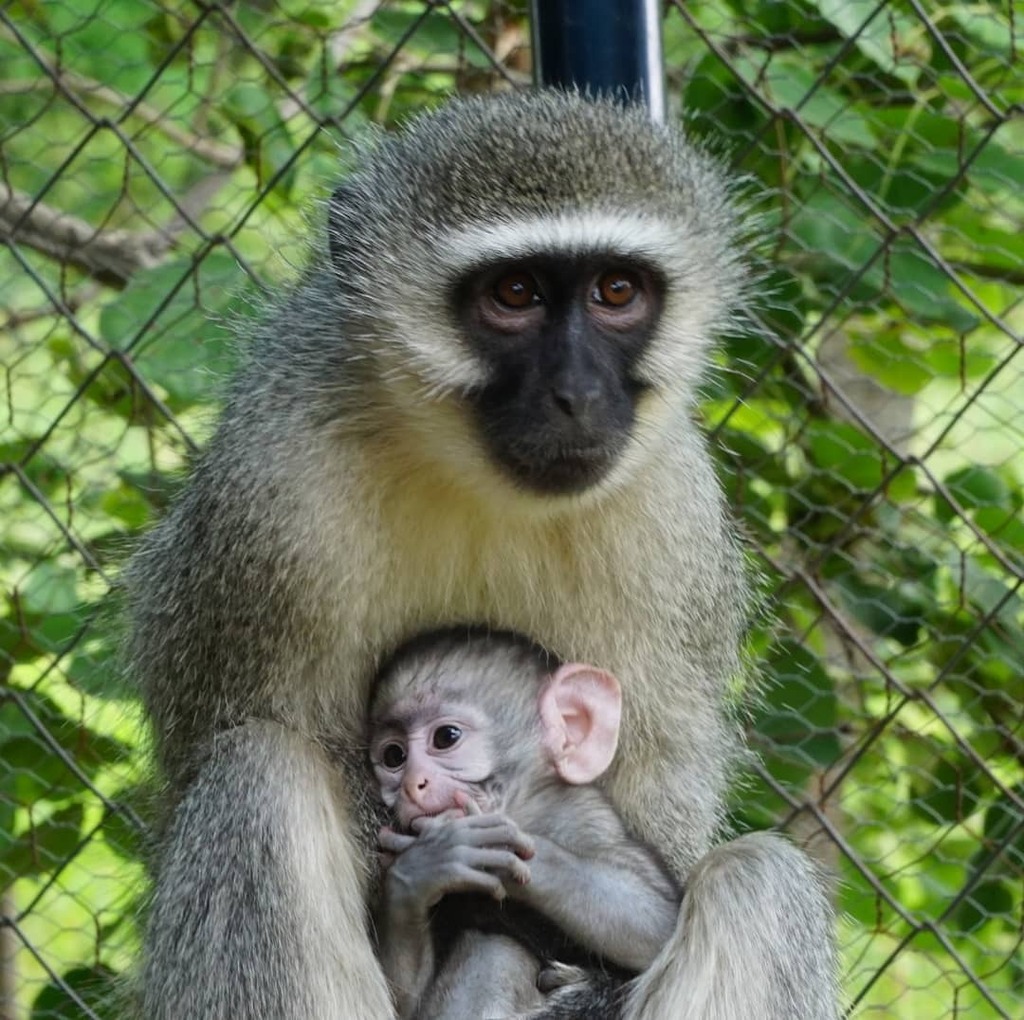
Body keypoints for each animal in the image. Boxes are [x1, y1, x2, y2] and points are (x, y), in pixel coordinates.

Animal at [367, 627, 680, 1019]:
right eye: (394, 756)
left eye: (446, 737)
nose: (412, 784)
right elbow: (404, 1004)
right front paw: (424, 865)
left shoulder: (585, 816)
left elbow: (662, 923)